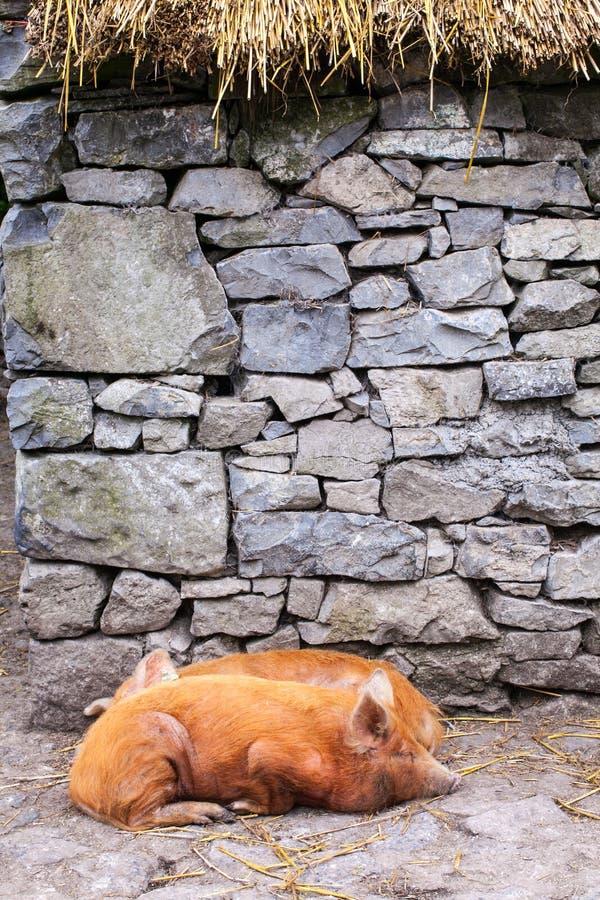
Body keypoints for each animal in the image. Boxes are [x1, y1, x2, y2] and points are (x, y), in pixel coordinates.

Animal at [70, 663, 460, 831]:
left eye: (416, 748)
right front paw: (238, 808)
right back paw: (213, 815)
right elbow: (278, 800)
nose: (456, 780)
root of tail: (78, 787)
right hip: (149, 753)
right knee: (137, 817)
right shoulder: (265, 756)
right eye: (404, 754)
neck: (334, 751)